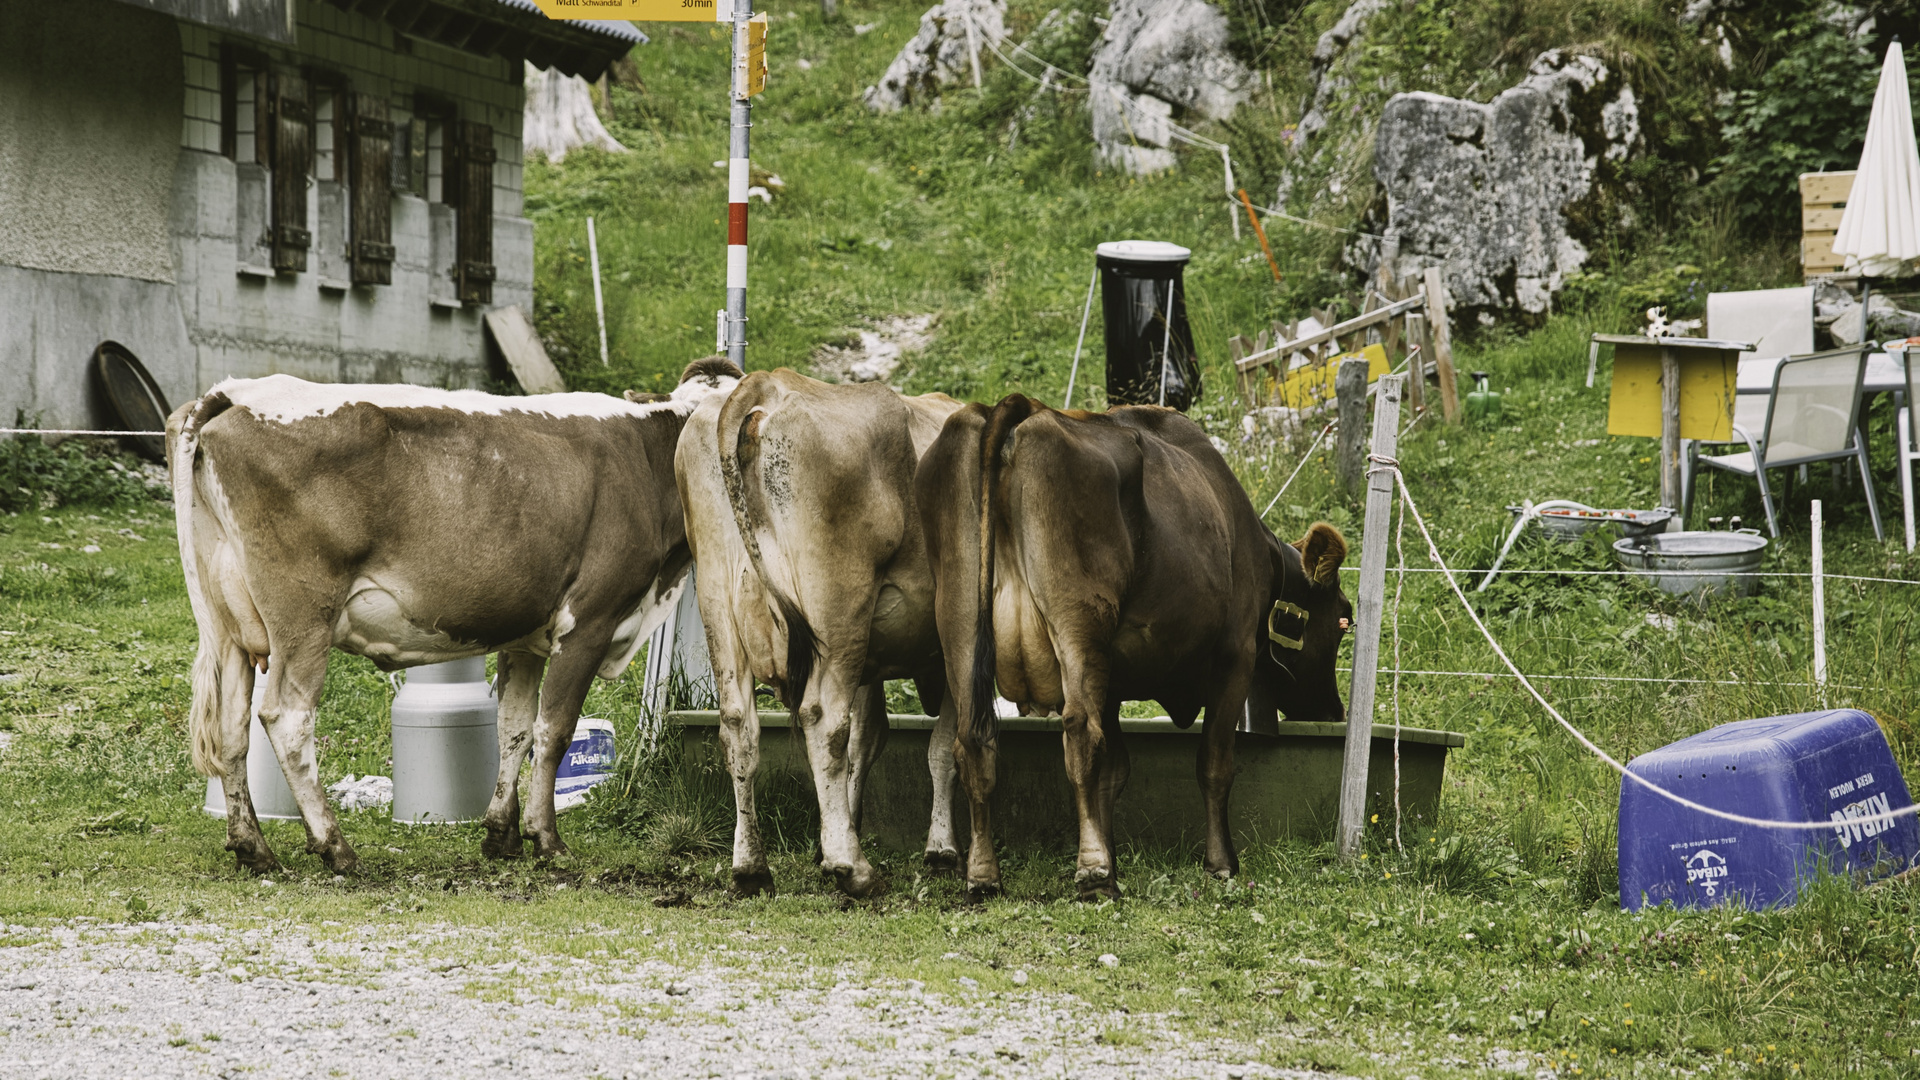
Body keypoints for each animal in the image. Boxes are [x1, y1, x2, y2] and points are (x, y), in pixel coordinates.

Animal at [170, 357, 741, 868]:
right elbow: (552, 732)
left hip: (230, 627)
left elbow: (513, 729)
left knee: (231, 726)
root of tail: (238, 392)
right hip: (303, 615)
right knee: (287, 718)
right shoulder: (589, 621)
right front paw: (548, 839)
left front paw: (502, 835)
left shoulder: (527, 634)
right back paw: (335, 846)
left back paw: (253, 846)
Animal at [679, 368, 967, 891]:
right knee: (824, 721)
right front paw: (941, 849)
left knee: (738, 725)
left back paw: (751, 865)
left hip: (719, 606)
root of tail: (768, 385)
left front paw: (835, 833)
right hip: (839, 614)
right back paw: (851, 868)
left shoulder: (874, 657)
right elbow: (943, 747)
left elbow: (868, 740)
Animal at [913, 395, 1351, 899]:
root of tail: (1024, 408)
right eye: (1344, 618)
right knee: (1079, 733)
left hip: (961, 620)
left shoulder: (1113, 679)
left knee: (974, 740)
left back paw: (984, 874)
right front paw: (1219, 863)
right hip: (1078, 619)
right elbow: (1214, 764)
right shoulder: (1234, 656)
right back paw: (1092, 870)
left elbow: (1113, 772)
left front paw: (1115, 858)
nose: (1335, 709)